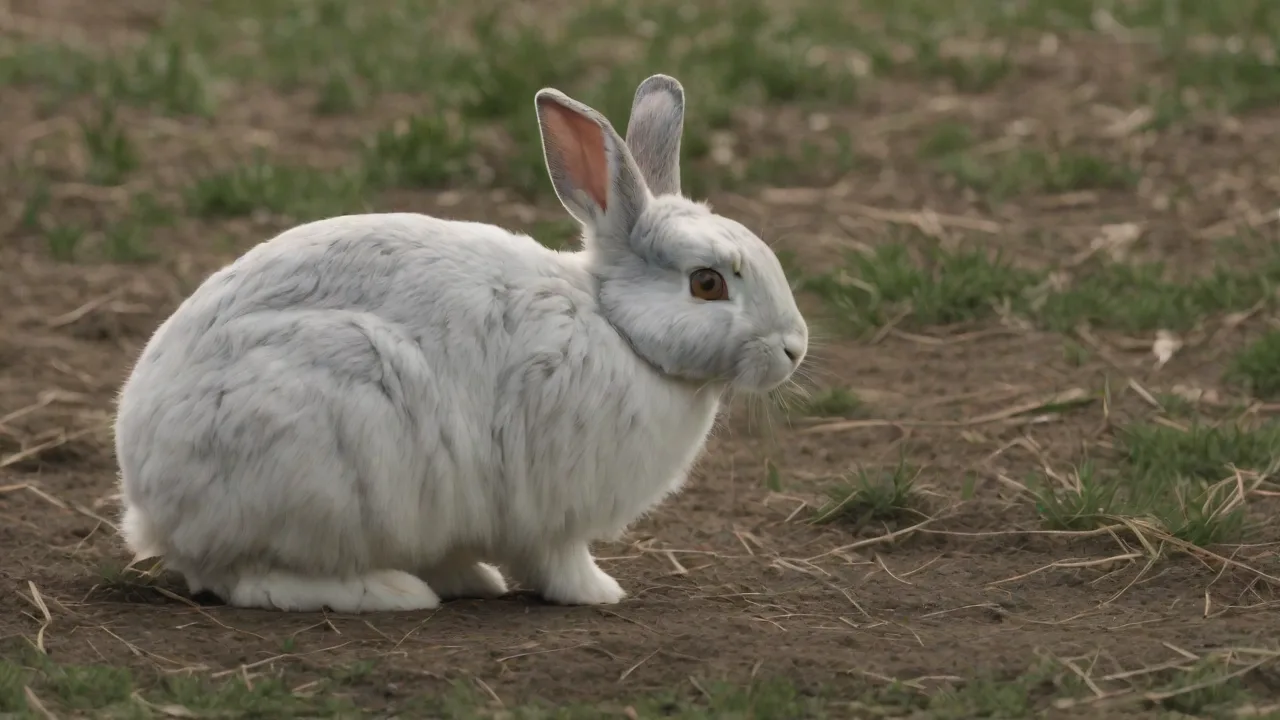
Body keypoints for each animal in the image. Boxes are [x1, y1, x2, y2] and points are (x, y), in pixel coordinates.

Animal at [112, 74, 808, 613]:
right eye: (708, 283)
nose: (794, 348)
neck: (617, 326)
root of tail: (150, 502)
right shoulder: (550, 510)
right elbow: (559, 560)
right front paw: (600, 593)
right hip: (327, 449)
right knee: (251, 578)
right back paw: (393, 592)